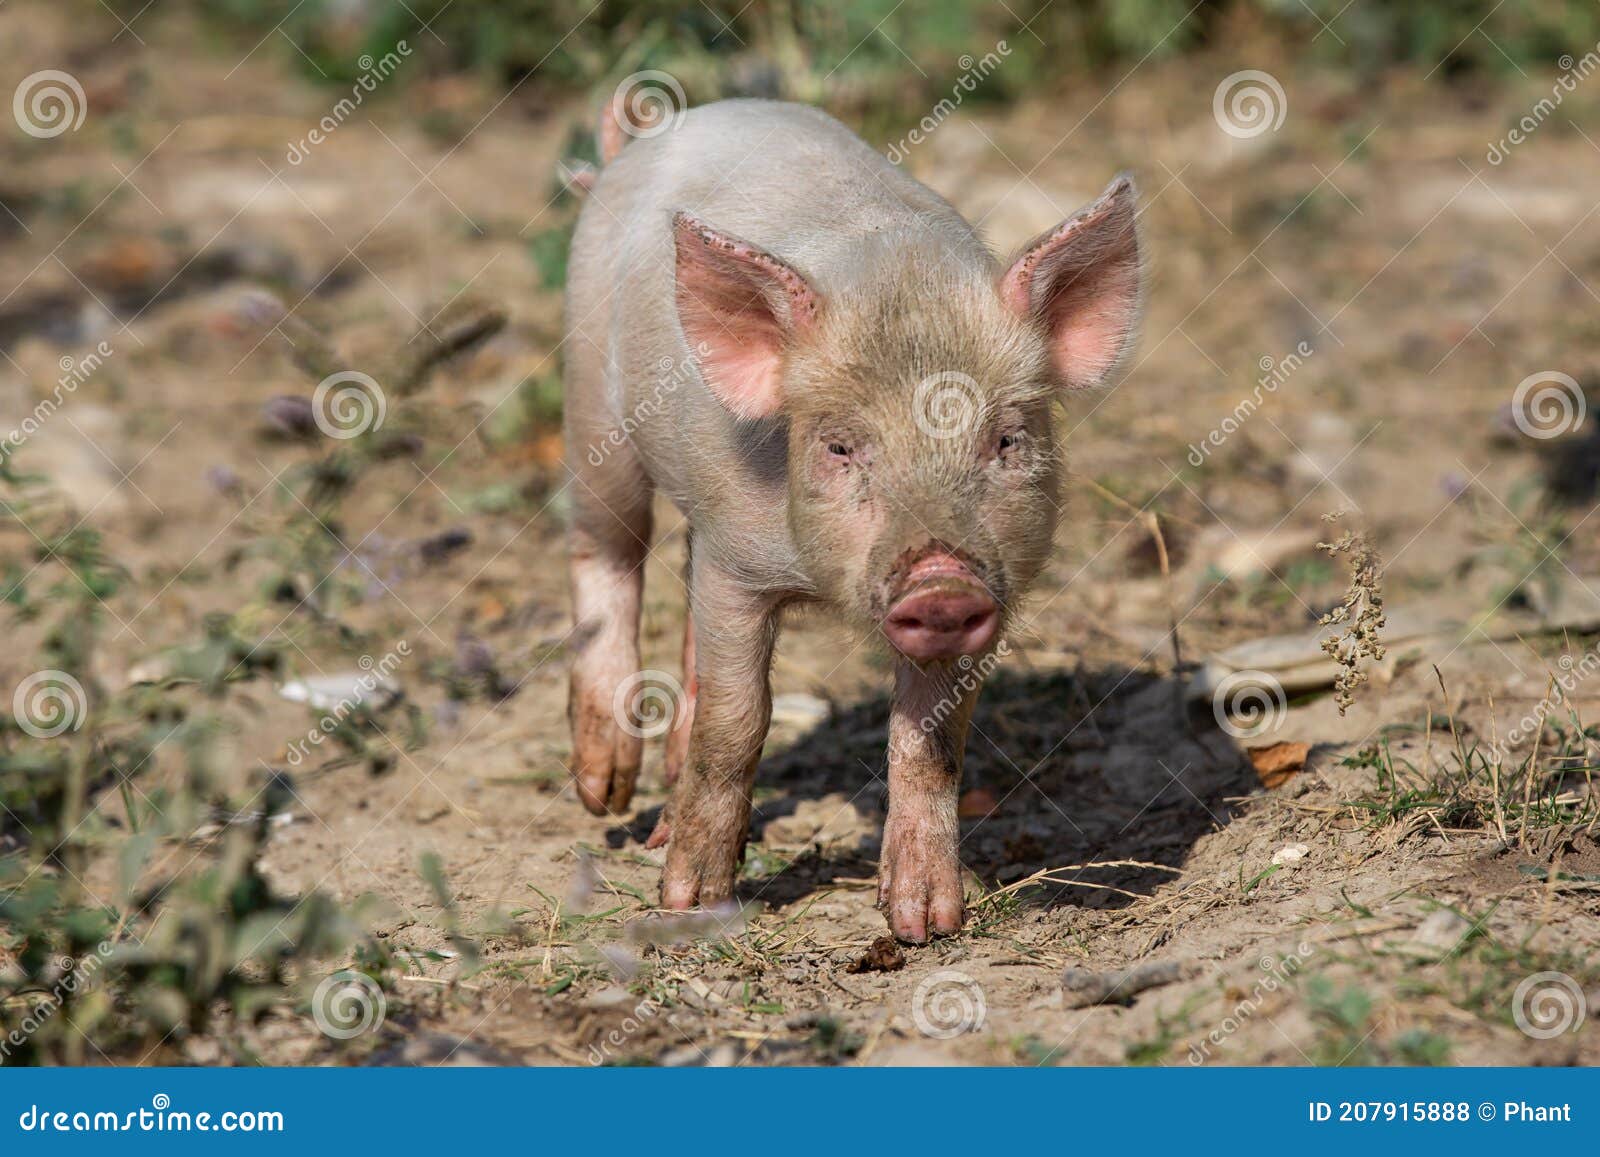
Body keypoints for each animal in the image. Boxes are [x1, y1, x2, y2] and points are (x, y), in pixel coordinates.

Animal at [564, 98, 1142, 942]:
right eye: (839, 445)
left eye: (1006, 439)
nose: (939, 580)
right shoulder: (737, 565)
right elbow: (738, 721)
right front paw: (689, 904)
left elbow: (931, 746)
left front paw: (924, 922)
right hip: (591, 403)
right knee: (607, 548)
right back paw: (604, 791)